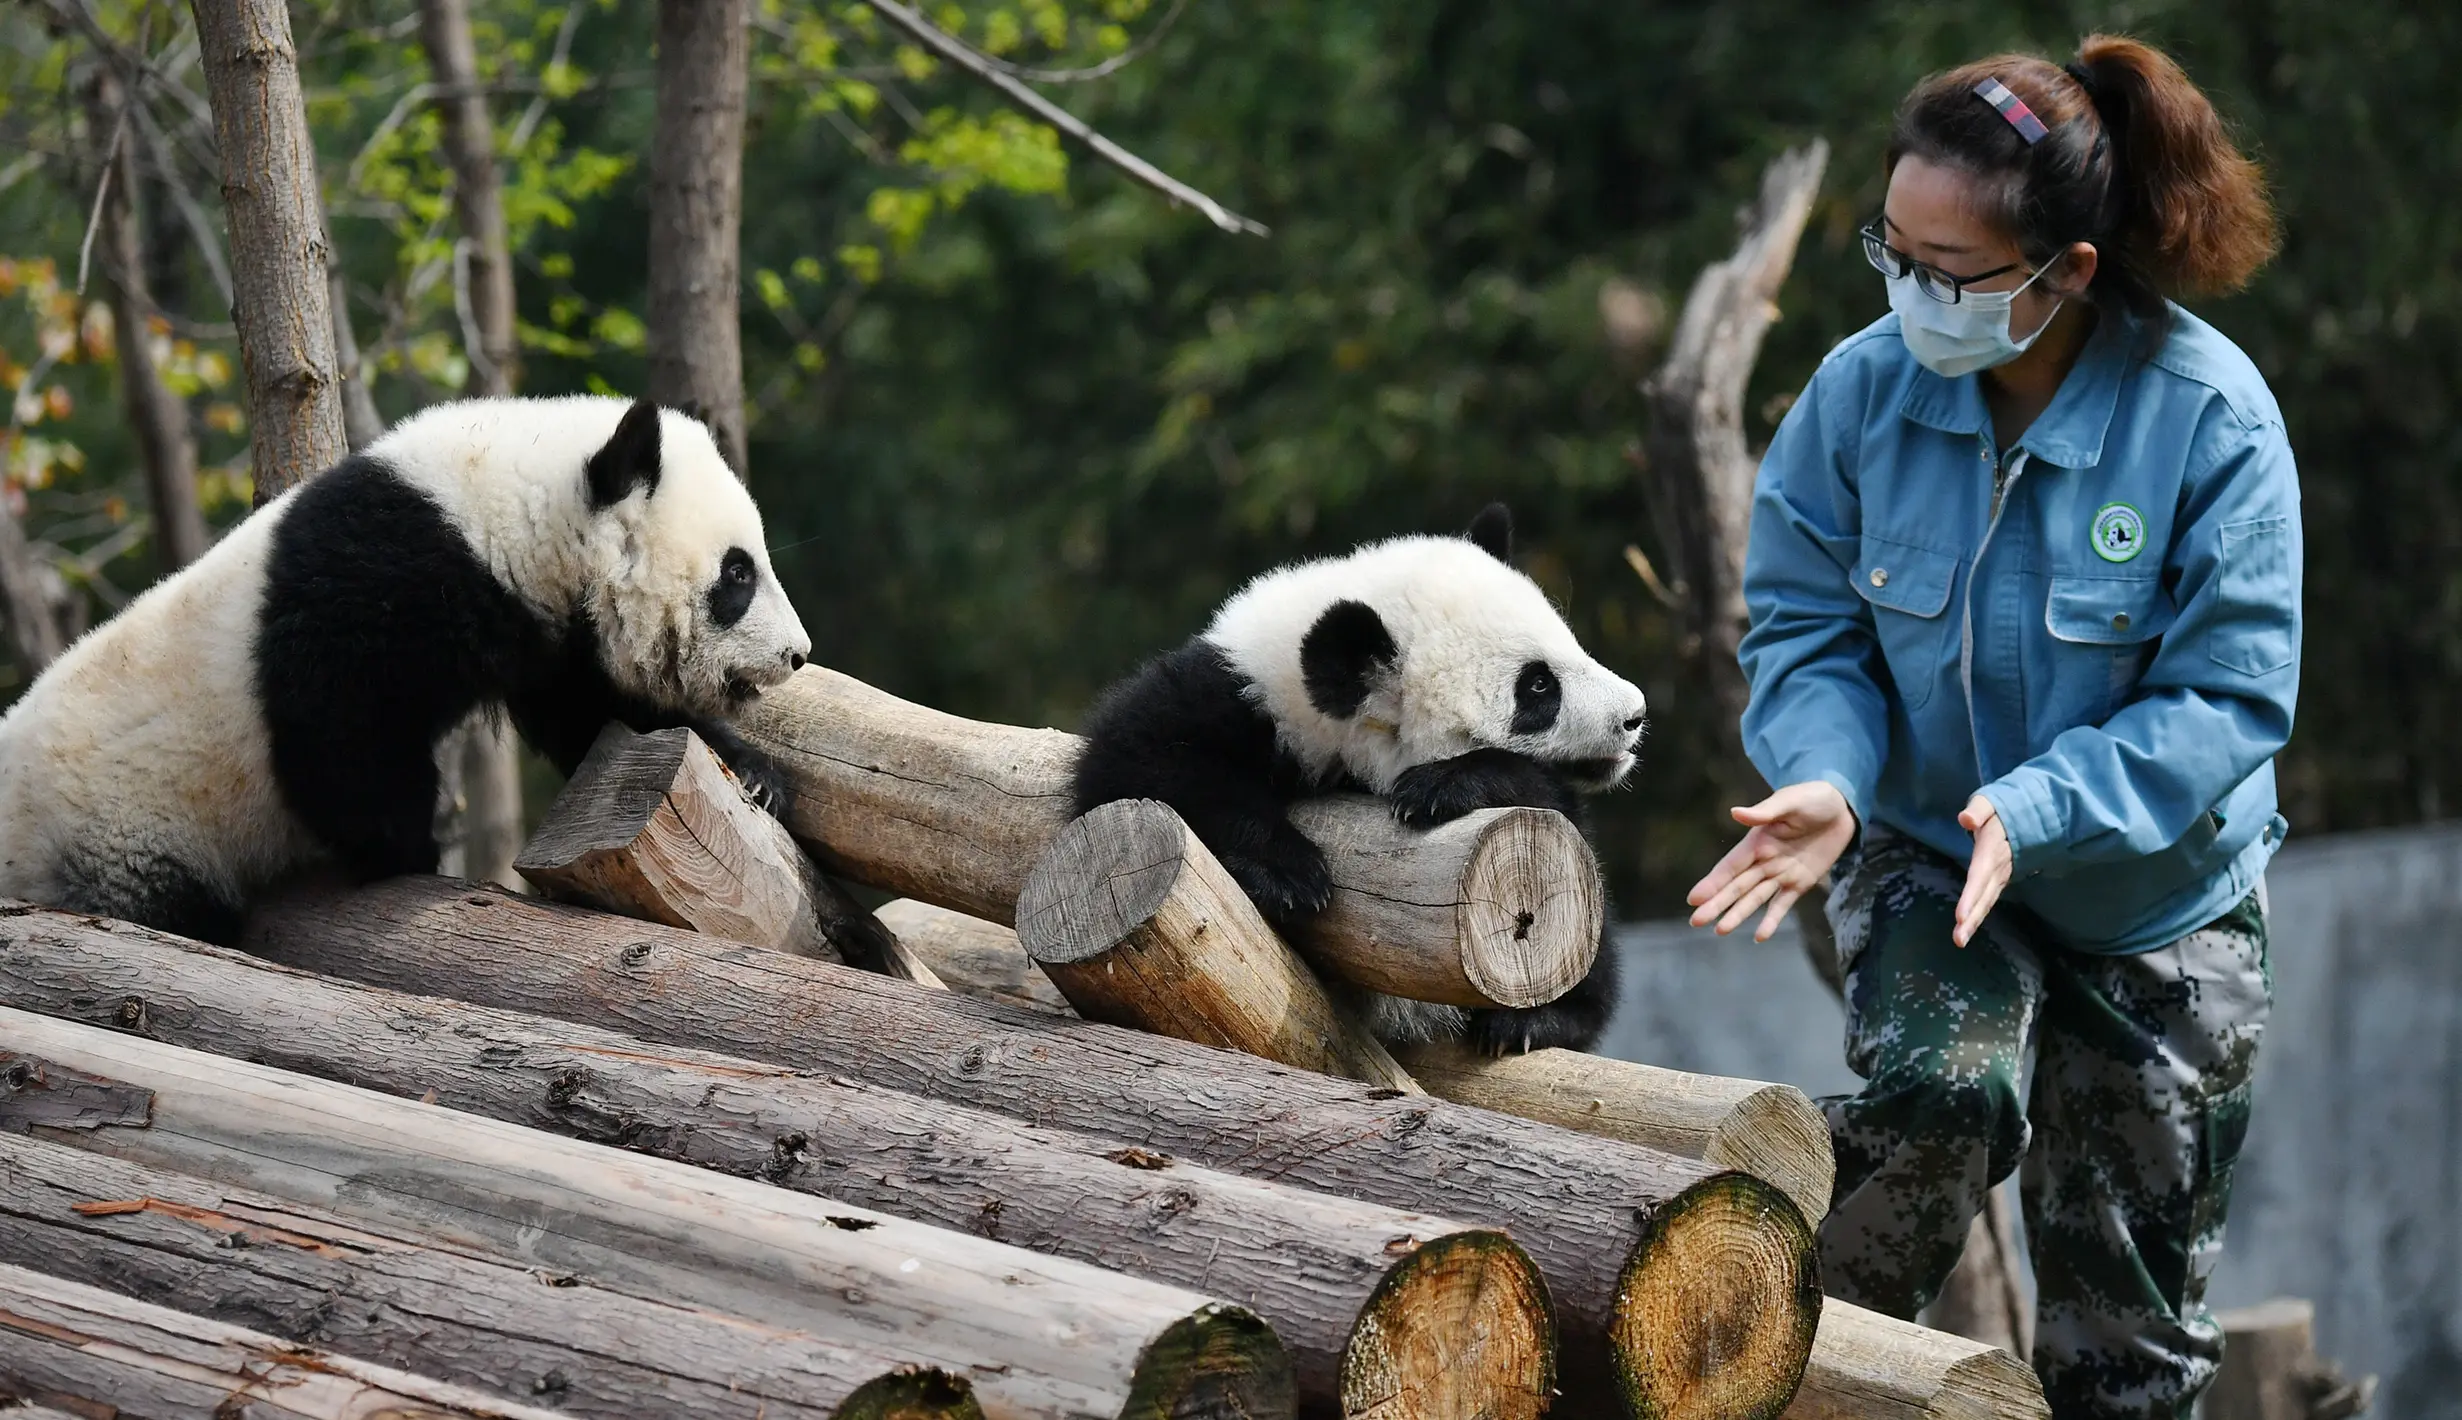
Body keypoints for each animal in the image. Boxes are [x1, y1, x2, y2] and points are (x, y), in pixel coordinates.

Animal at [0, 394, 811, 946]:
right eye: (738, 574)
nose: (797, 654)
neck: (499, 511)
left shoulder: (542, 631)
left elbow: (594, 717)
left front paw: (755, 777)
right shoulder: (379, 580)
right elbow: (340, 734)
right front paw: (407, 850)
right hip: (120, 833)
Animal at [1072, 504, 1647, 1054]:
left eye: (1569, 642)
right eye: (1538, 686)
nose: (1635, 714)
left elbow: (1547, 799)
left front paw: (1438, 788)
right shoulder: (1221, 696)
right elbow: (1134, 773)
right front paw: (1288, 875)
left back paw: (1533, 1021)